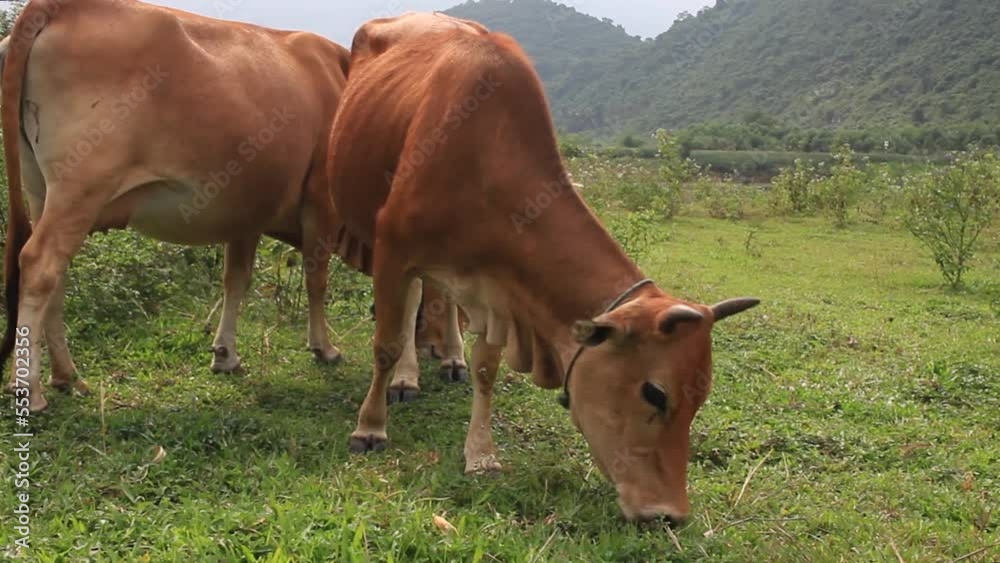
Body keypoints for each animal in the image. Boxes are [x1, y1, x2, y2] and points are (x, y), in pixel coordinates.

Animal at [0, 0, 465, 412]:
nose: (443, 355)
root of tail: (61, 6)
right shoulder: (319, 201)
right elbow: (317, 279)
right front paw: (325, 347)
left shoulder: (247, 210)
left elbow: (235, 280)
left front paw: (225, 354)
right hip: (80, 187)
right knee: (39, 265)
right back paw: (31, 390)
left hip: (44, 192)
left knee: (55, 278)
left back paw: (68, 377)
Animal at [326, 13, 760, 523]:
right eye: (655, 392)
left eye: (701, 398)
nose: (668, 513)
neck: (484, 158)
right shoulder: (394, 251)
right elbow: (386, 345)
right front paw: (370, 427)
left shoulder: (496, 288)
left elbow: (487, 369)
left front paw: (482, 454)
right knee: (412, 304)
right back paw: (405, 379)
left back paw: (449, 357)